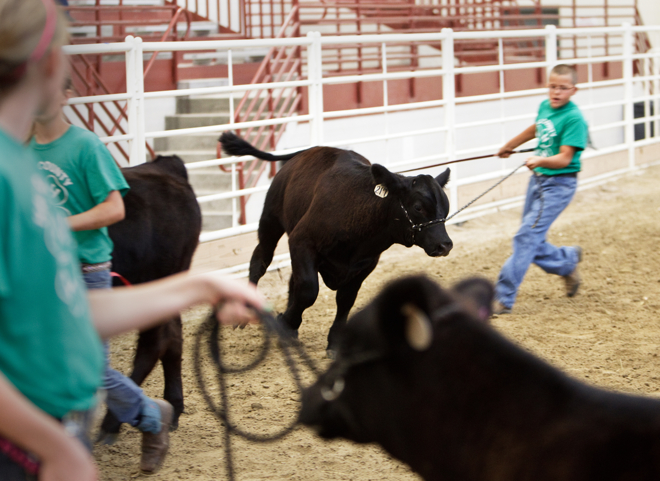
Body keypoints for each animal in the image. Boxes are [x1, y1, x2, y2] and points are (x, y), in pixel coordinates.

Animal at [219, 132, 453, 356]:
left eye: (446, 207)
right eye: (418, 207)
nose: (445, 244)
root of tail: (303, 153)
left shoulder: (366, 263)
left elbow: (345, 299)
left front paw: (333, 342)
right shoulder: (302, 241)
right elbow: (308, 290)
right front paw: (285, 322)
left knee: (291, 279)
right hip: (270, 221)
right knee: (260, 261)